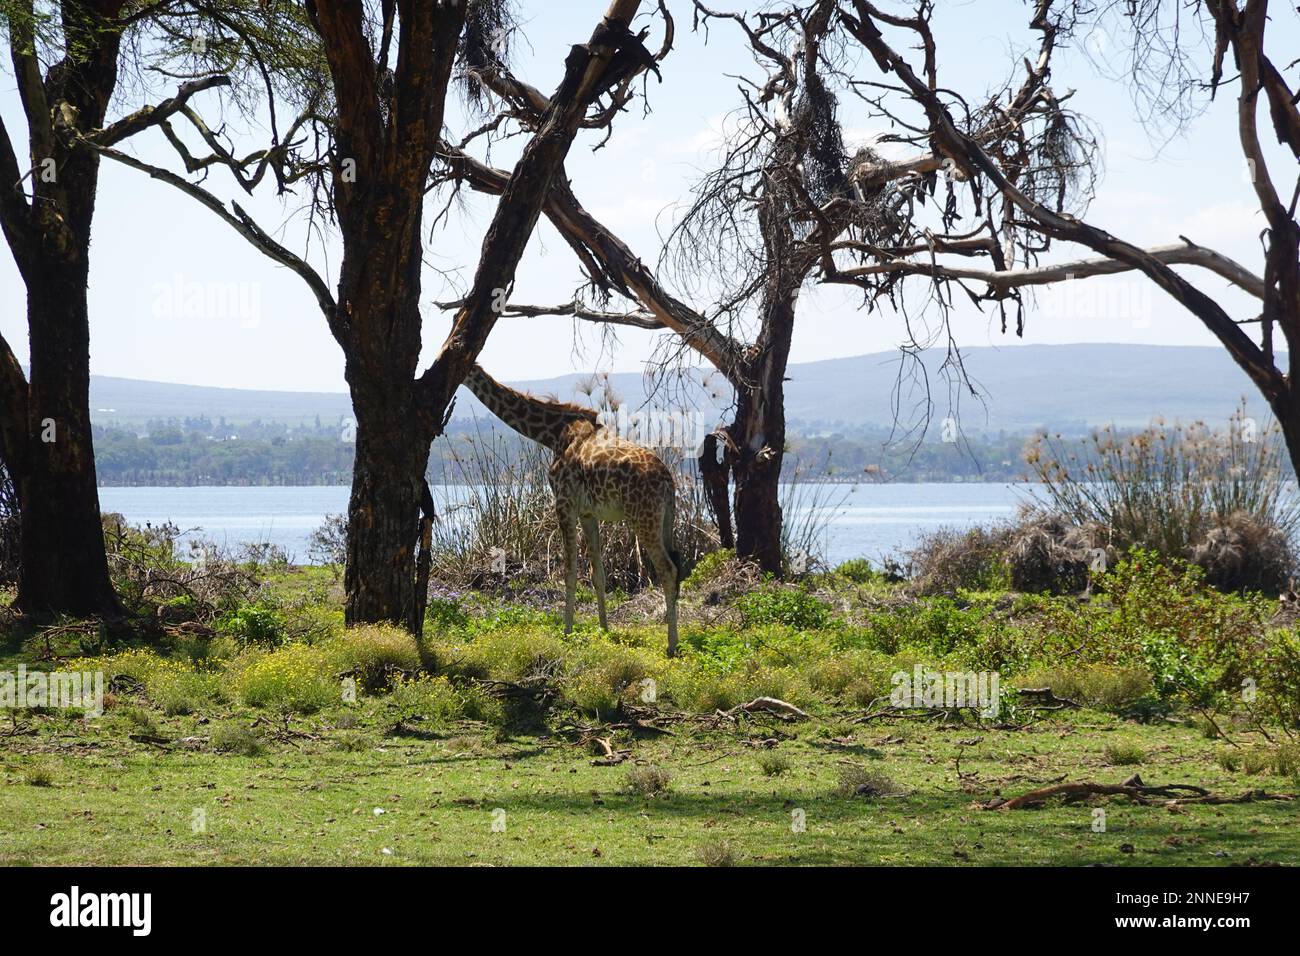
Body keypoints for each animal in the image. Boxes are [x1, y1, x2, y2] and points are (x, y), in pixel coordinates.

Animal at [462, 365, 682, 655]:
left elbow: (569, 571)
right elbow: (597, 573)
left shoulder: (564, 503)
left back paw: (672, 645)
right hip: (666, 519)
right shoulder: (588, 513)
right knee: (676, 566)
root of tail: (668, 482)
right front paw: (604, 629)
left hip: (643, 519)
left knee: (667, 569)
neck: (553, 432)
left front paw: (566, 631)